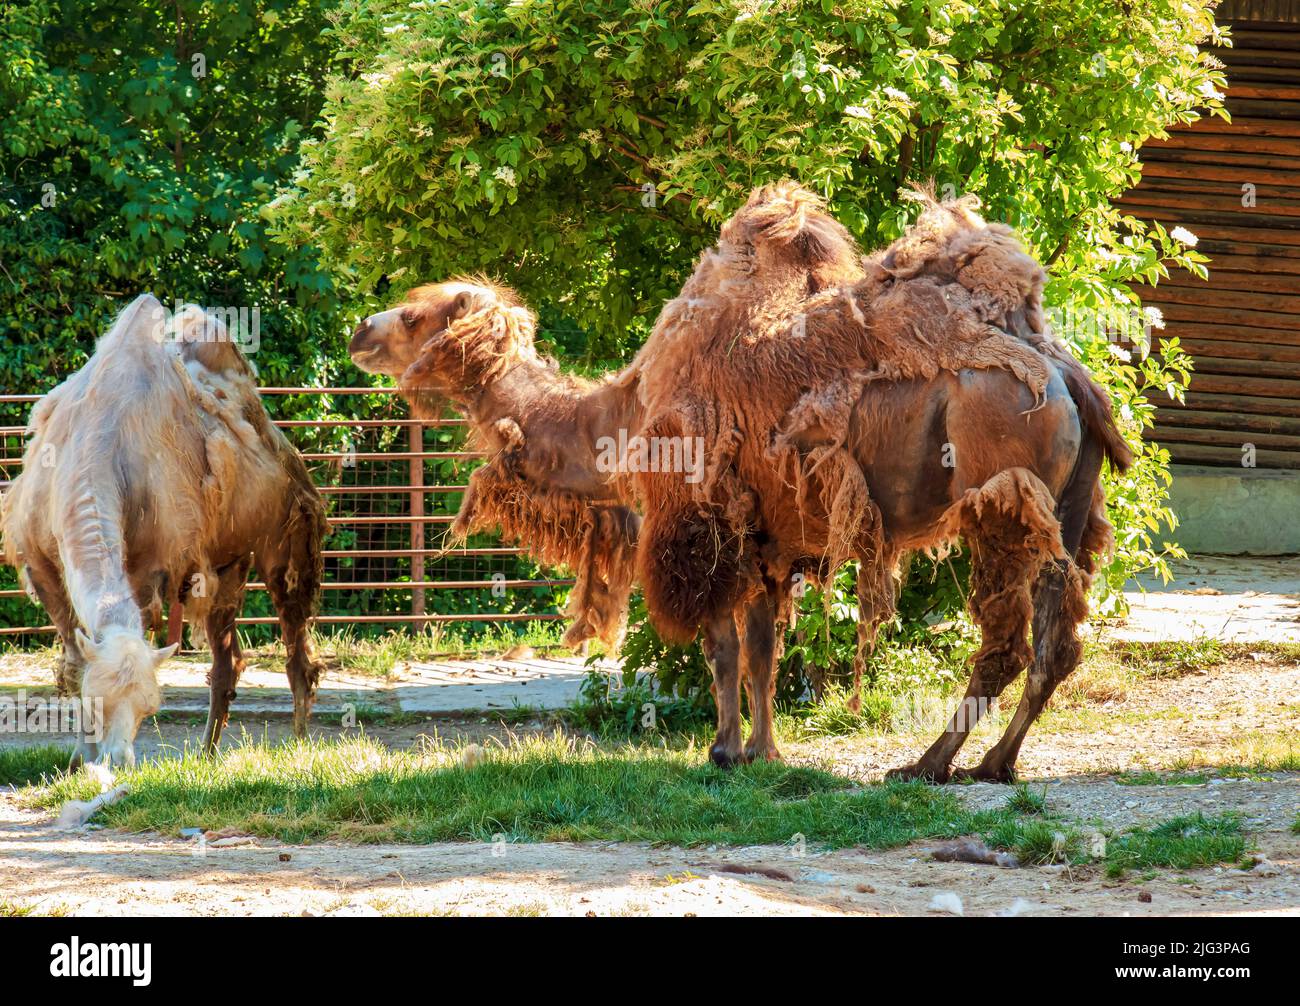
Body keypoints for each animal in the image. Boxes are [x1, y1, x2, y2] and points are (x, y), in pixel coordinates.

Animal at [1, 295, 326, 766]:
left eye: (149, 708)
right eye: (98, 704)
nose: (119, 760)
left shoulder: (150, 566)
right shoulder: (40, 564)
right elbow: (75, 666)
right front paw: (80, 758)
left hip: (289, 535)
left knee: (295, 646)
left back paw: (299, 744)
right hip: (228, 564)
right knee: (227, 660)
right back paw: (207, 753)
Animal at [353, 182, 1128, 783]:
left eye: (415, 314)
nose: (361, 330)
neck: (621, 418)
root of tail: (1067, 378)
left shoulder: (701, 522)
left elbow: (720, 650)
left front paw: (723, 751)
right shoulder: (767, 541)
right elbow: (762, 653)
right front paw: (764, 750)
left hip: (999, 492)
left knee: (1006, 644)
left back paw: (927, 764)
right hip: (1070, 507)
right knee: (1058, 641)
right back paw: (997, 763)